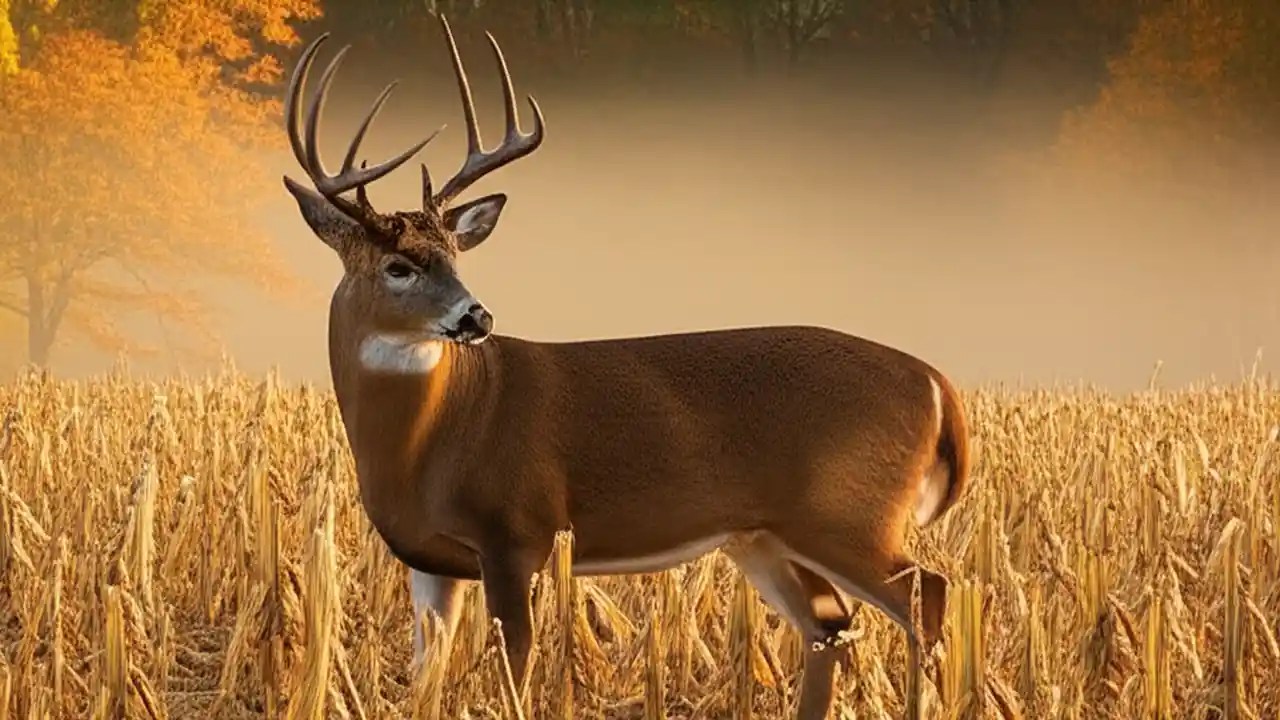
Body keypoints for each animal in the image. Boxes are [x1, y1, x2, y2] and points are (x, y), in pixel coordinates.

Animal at [281, 15, 970, 720]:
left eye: (454, 254)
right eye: (400, 266)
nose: (478, 316)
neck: (434, 437)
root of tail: (939, 386)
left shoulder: (518, 532)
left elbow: (513, 666)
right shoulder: (429, 561)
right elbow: (426, 674)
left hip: (847, 513)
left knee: (930, 593)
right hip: (764, 538)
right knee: (830, 627)